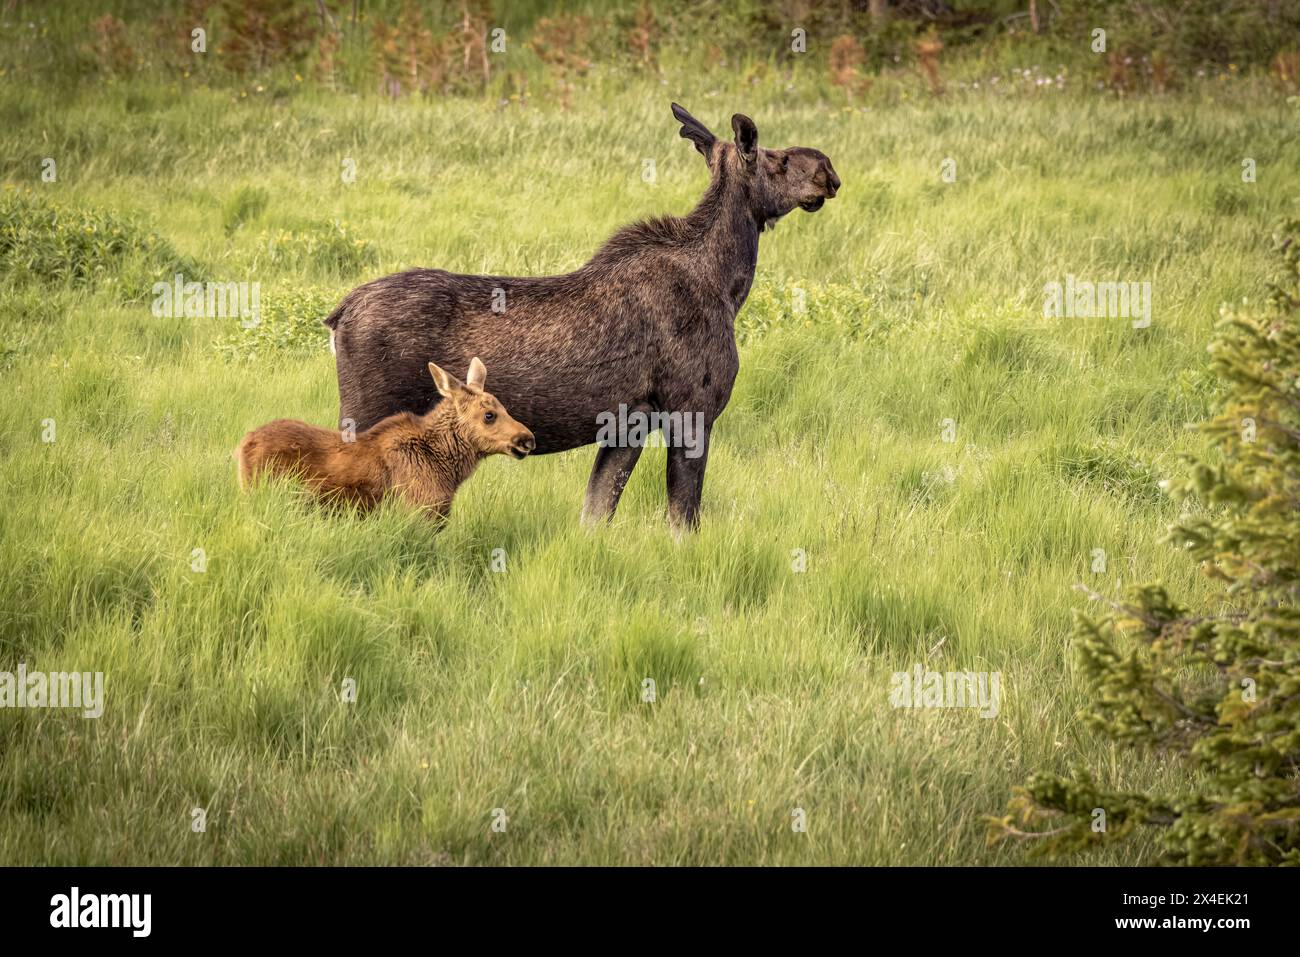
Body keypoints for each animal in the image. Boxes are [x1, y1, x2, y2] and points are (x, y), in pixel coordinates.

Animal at [325, 103, 839, 531]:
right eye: (777, 159)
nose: (828, 171)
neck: (729, 287)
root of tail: (337, 315)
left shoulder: (630, 425)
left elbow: (595, 514)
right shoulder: (692, 411)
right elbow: (682, 522)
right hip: (365, 413)